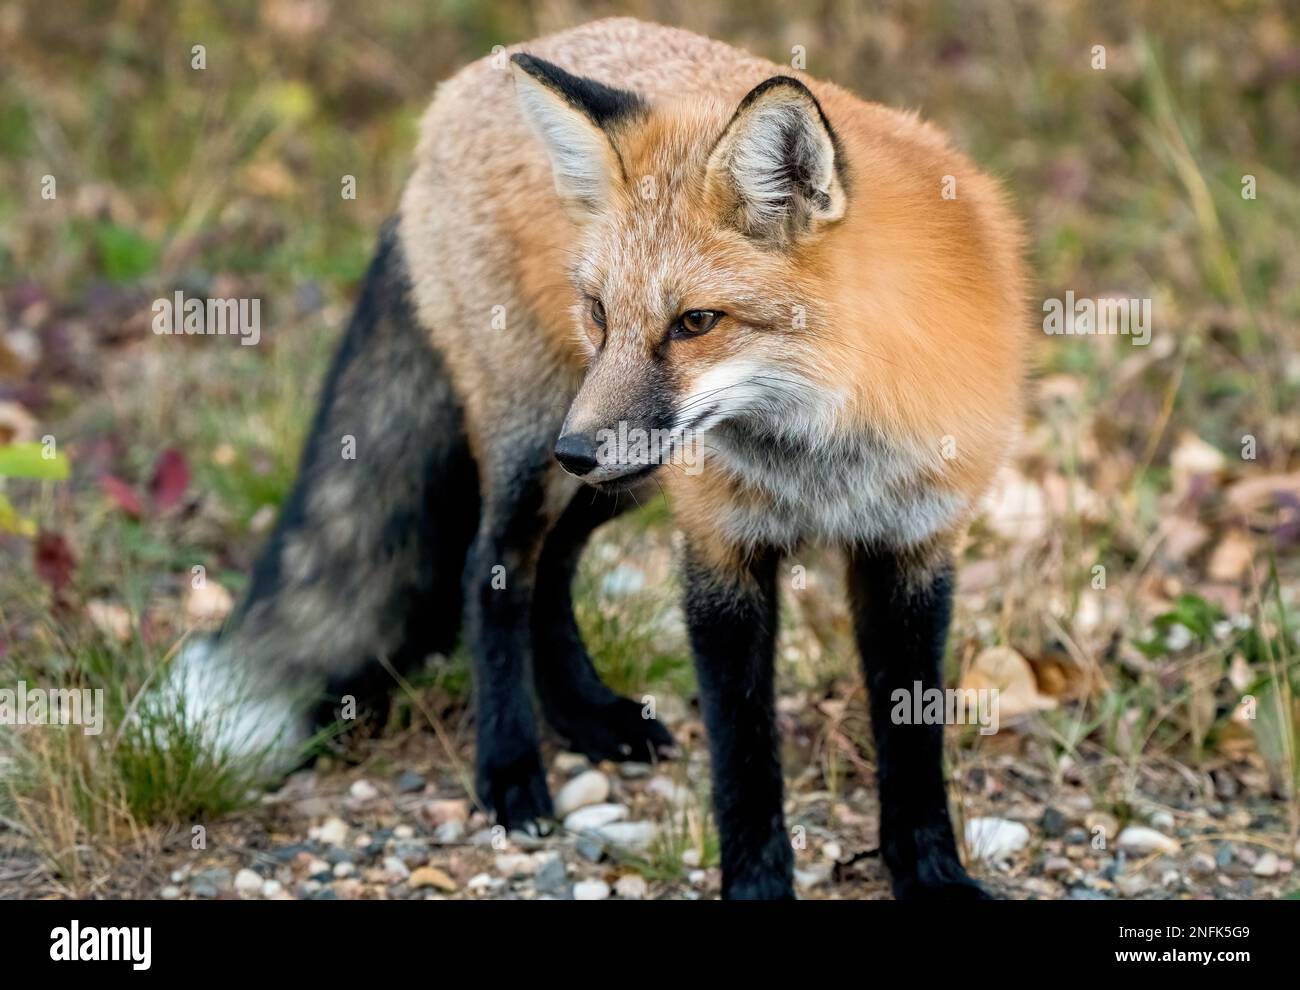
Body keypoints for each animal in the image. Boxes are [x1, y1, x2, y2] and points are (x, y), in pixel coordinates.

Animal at [167, 17, 1028, 900]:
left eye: (695, 322)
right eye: (601, 313)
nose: (575, 448)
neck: (824, 451)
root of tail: (456, 92)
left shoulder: (914, 544)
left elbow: (912, 746)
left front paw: (931, 873)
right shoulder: (719, 550)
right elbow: (744, 760)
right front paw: (757, 884)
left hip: (621, 477)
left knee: (552, 566)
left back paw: (583, 716)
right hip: (542, 449)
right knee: (493, 568)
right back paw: (511, 767)